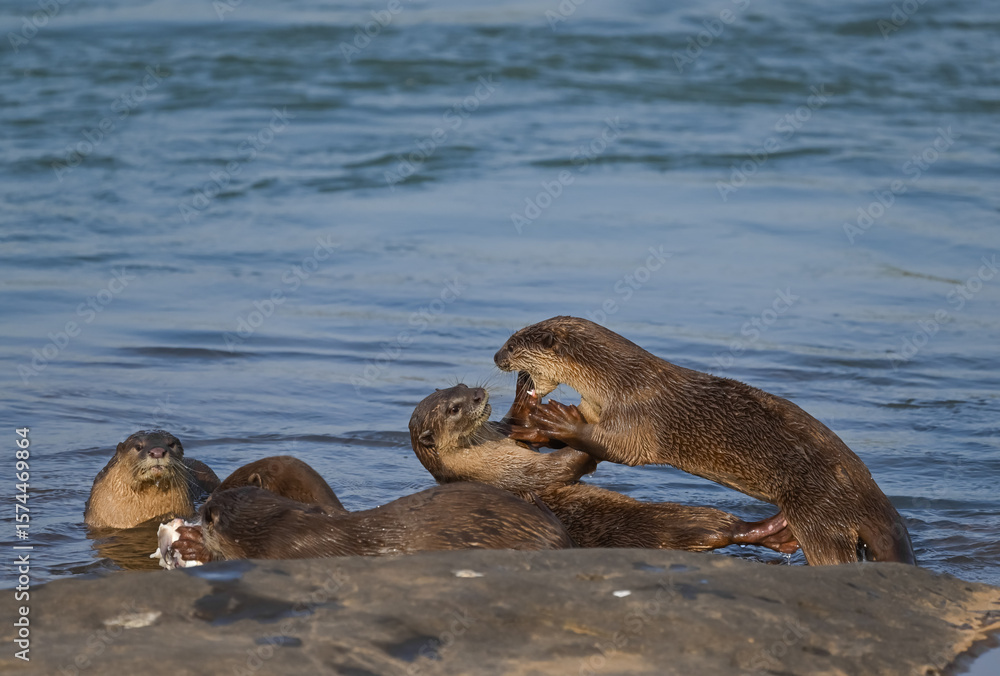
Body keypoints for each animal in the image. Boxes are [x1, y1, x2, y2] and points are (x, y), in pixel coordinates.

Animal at [409, 384, 798, 553]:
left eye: (462, 387)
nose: (479, 395)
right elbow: (560, 470)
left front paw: (526, 402)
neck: (485, 453)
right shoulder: (505, 473)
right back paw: (772, 528)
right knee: (726, 531)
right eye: (454, 408)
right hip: (684, 522)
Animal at [494, 316, 915, 565]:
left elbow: (617, 448)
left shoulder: (638, 416)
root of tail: (868, 491)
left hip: (819, 516)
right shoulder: (595, 407)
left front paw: (556, 421)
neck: (615, 383)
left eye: (512, 344)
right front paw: (531, 429)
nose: (496, 356)